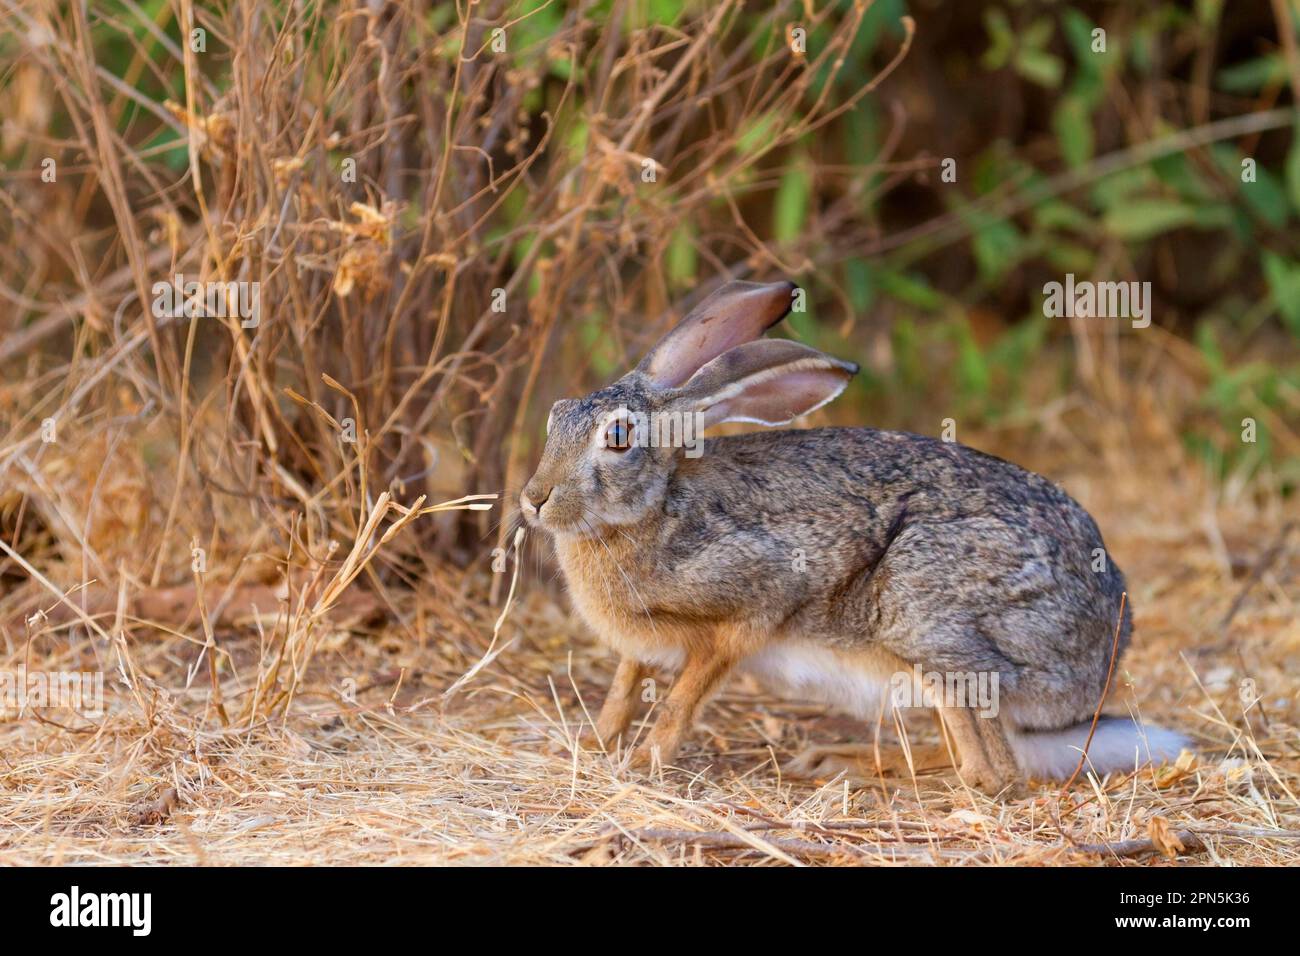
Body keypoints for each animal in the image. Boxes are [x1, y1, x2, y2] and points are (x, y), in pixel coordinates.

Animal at [520, 279, 1188, 794]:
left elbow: (682, 698)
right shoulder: (639, 647)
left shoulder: (747, 608)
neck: (655, 506)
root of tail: (1099, 662)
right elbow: (623, 691)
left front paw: (642, 762)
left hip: (926, 622)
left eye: (620, 438)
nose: (534, 498)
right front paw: (588, 745)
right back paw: (834, 761)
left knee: (995, 772)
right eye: (557, 415)